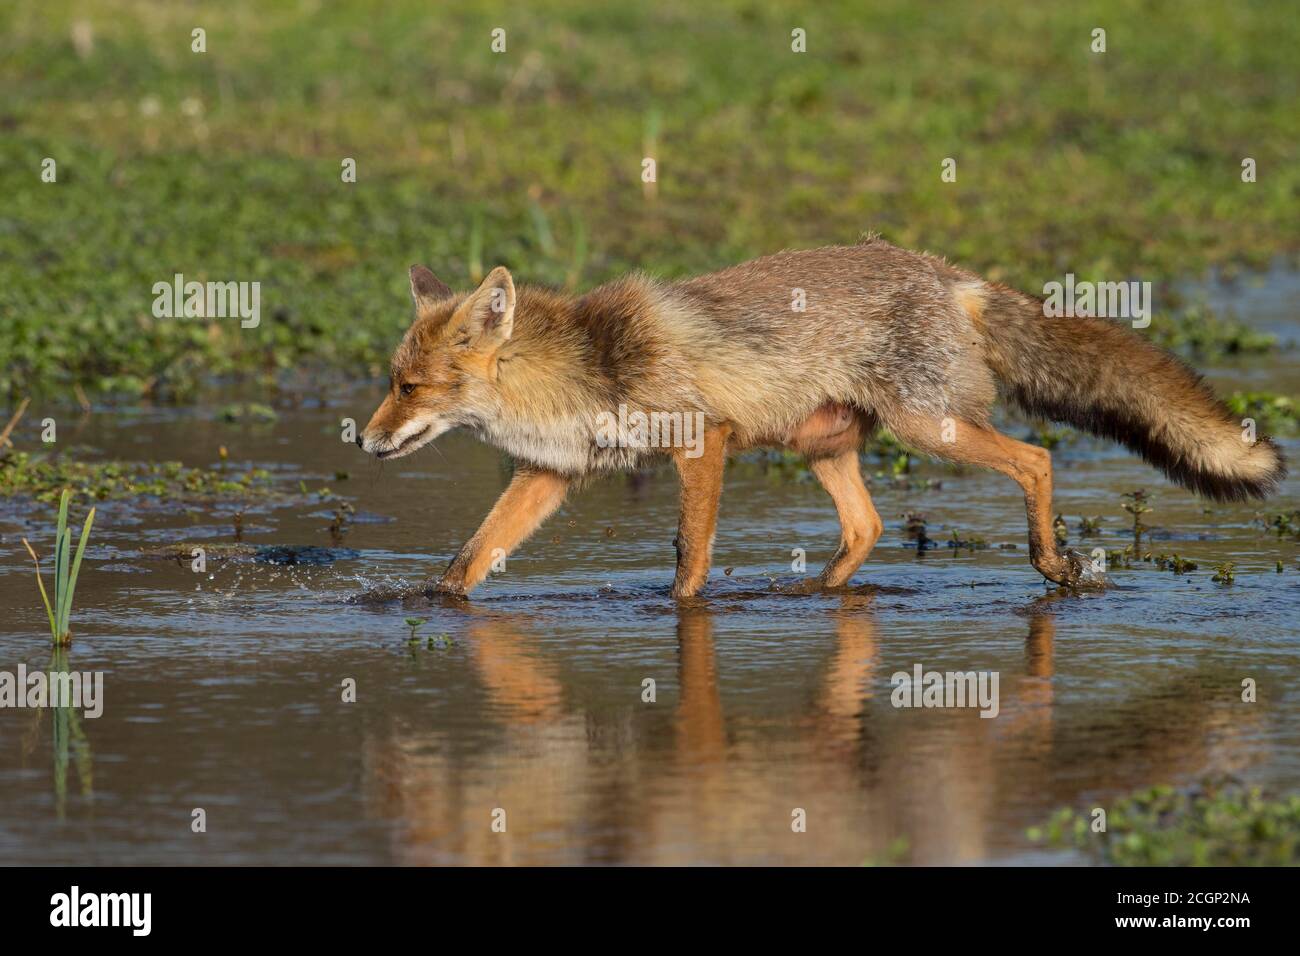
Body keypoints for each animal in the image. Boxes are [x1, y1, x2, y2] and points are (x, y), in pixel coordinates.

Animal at [359, 236, 1285, 598]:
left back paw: (1052, 562)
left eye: (409, 387)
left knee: (1039, 460)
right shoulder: (550, 474)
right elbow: (473, 555)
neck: (585, 370)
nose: (363, 441)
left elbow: (692, 556)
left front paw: (682, 614)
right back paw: (815, 594)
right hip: (824, 445)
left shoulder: (703, 442)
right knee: (867, 526)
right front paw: (431, 604)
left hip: (928, 429)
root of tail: (948, 273)